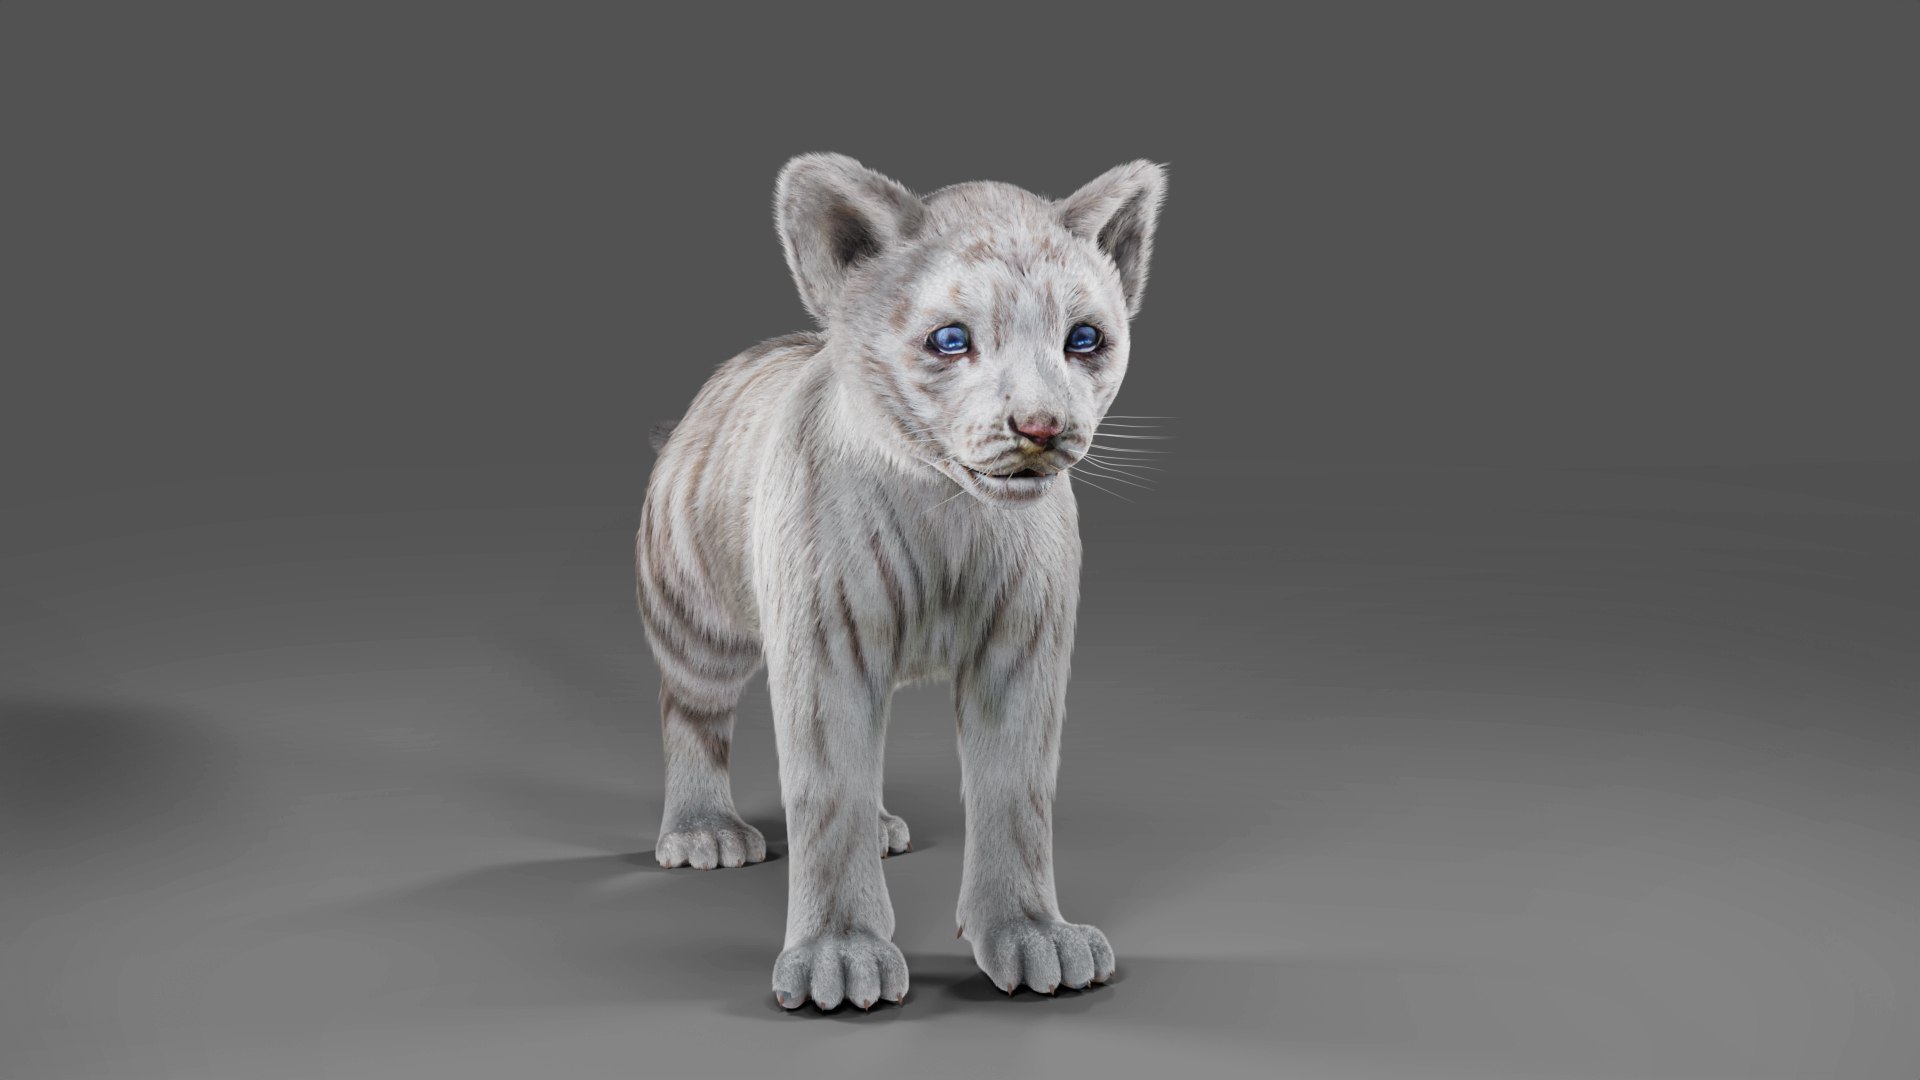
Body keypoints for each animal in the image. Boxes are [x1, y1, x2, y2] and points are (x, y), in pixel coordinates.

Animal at [635, 152, 1167, 1011]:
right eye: (950, 340)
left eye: (1084, 339)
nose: (1041, 427)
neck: (948, 511)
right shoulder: (825, 642)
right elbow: (828, 791)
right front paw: (840, 956)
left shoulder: (1023, 645)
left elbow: (1016, 792)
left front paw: (1033, 937)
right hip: (697, 622)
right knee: (691, 712)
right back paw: (703, 831)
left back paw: (885, 832)